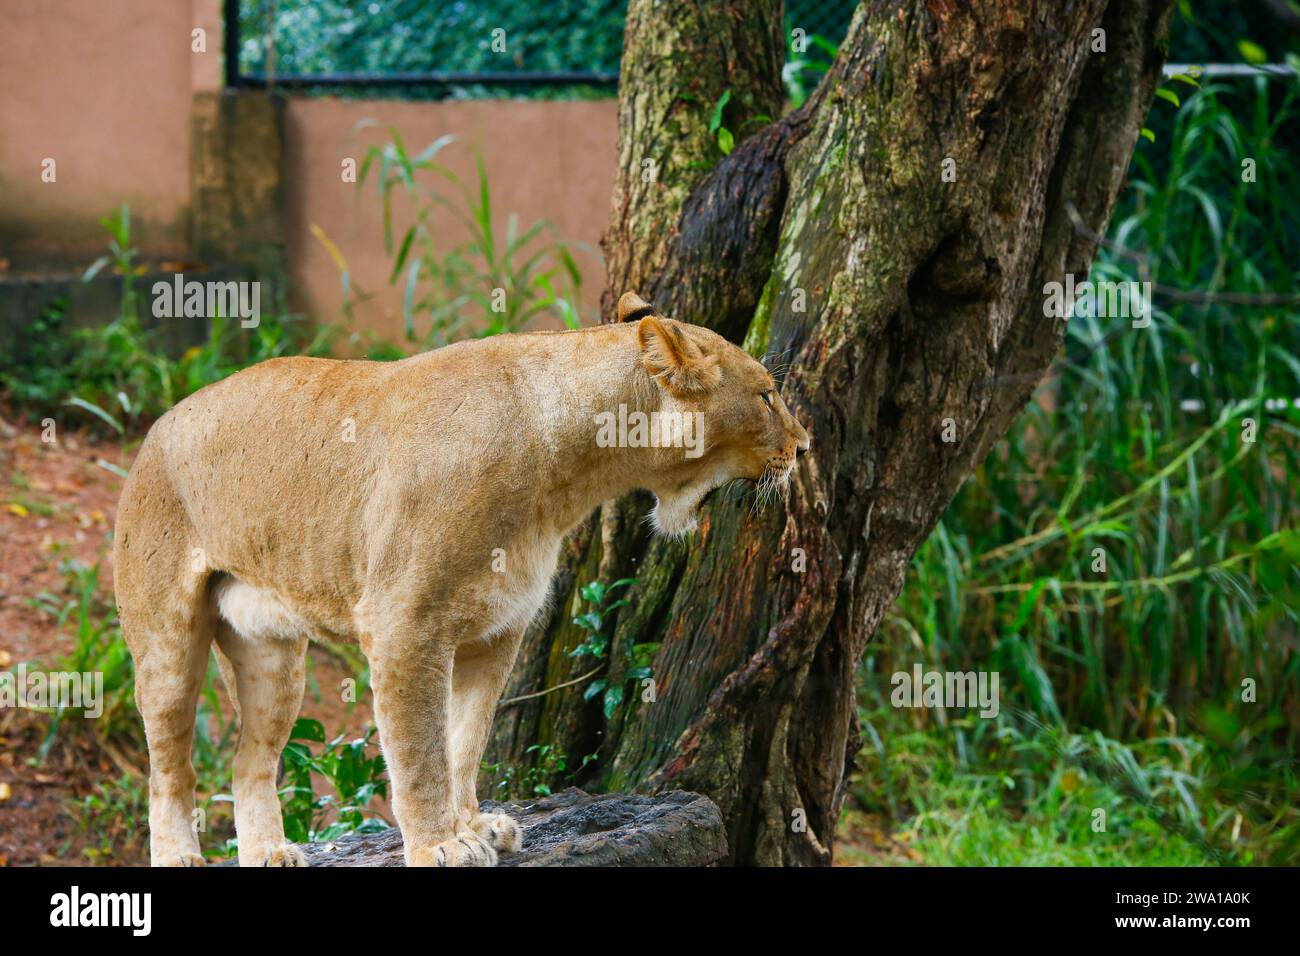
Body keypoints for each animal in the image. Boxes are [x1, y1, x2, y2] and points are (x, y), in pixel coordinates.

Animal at [114, 292, 810, 867]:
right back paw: (180, 856)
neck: (569, 472)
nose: (804, 447)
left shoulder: (497, 630)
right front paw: (439, 845)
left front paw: (473, 825)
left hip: (273, 657)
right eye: (766, 396)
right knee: (167, 766)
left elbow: (466, 738)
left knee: (247, 760)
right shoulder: (404, 623)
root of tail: (156, 426)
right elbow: (421, 751)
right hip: (167, 645)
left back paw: (268, 852)